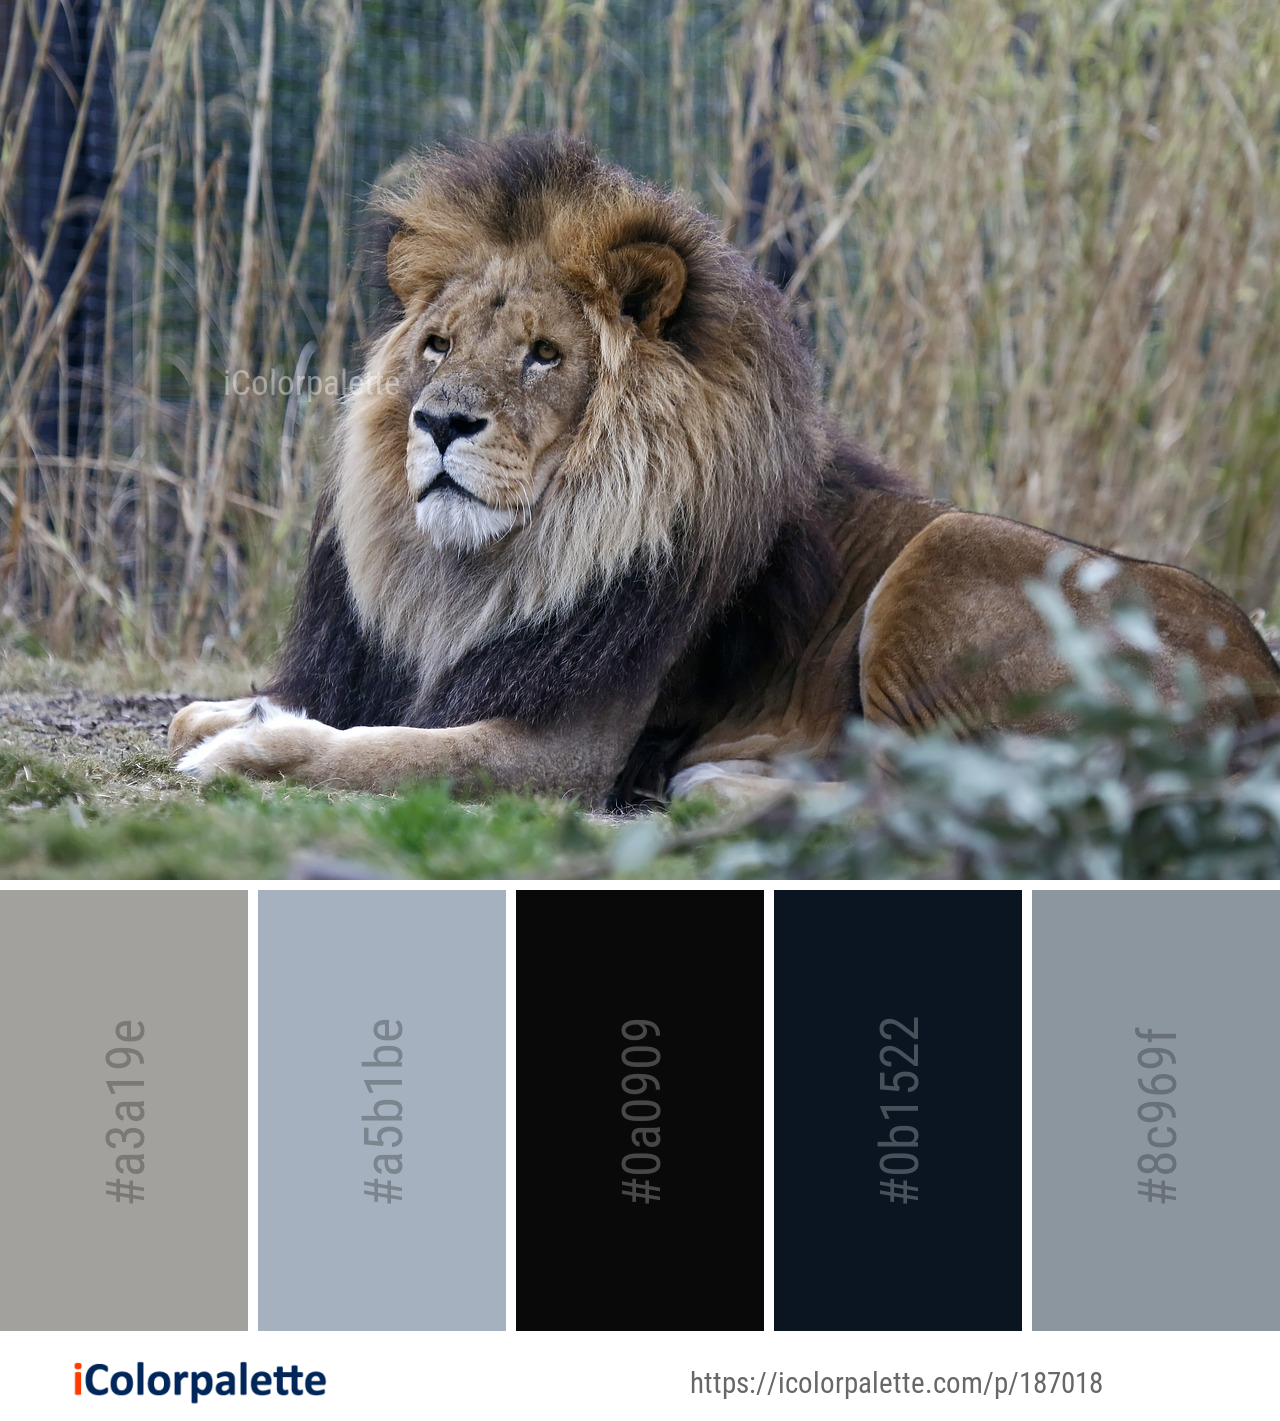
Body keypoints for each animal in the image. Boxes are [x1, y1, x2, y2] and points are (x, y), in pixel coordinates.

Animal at [170, 134, 1280, 804]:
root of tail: (1262, 687)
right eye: (437, 344)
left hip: (944, 552)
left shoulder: (561, 752)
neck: (488, 565)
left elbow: (377, 748)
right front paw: (229, 709)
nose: (440, 422)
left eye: (544, 355)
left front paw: (246, 743)